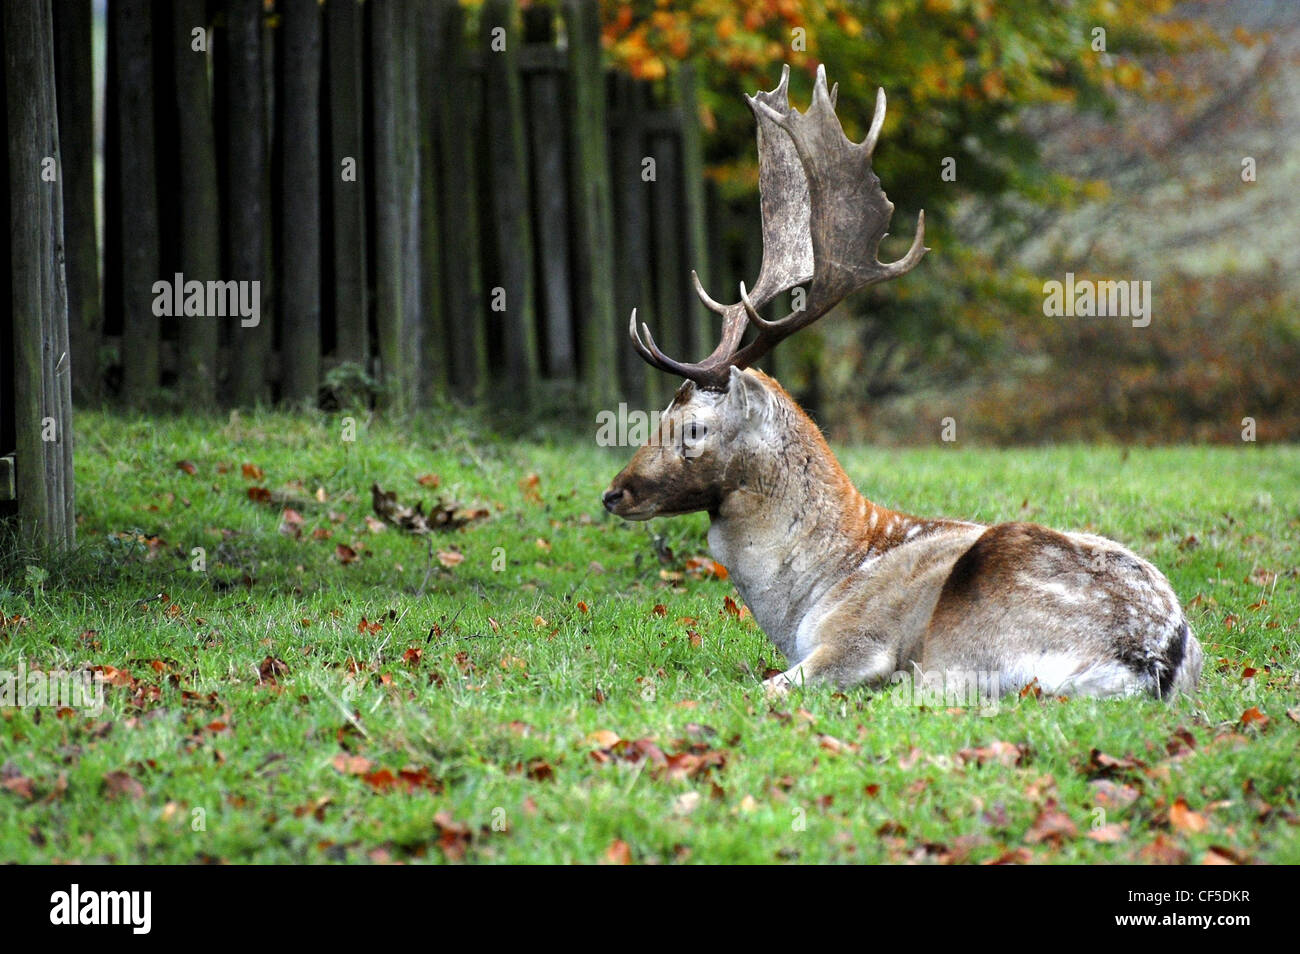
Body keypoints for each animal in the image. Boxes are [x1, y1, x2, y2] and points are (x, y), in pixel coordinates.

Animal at [602, 65, 1202, 701]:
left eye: (693, 428)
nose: (614, 493)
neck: (809, 596)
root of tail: (1155, 656)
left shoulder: (858, 639)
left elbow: (767, 686)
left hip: (971, 636)